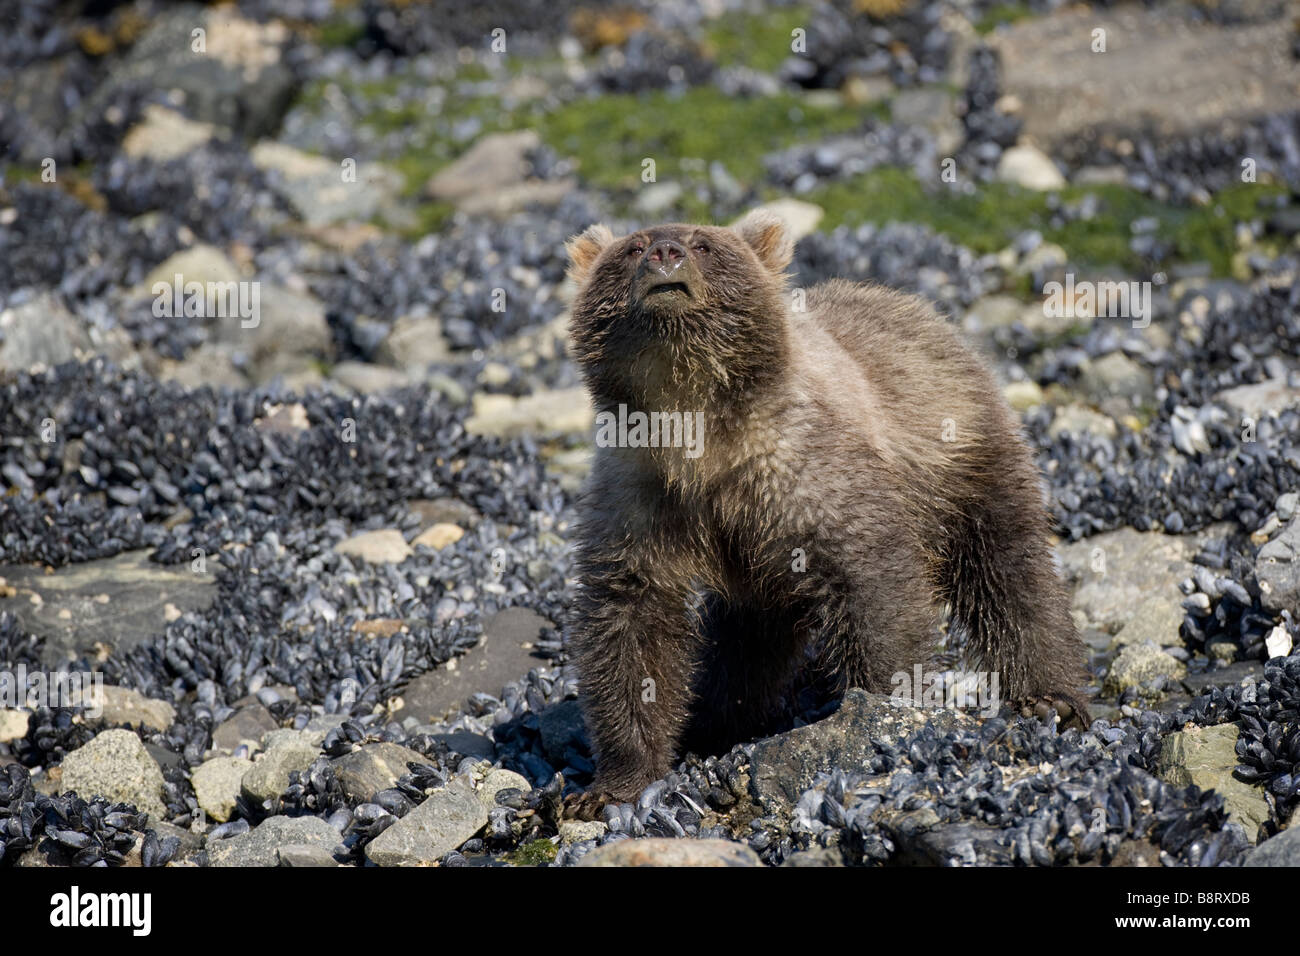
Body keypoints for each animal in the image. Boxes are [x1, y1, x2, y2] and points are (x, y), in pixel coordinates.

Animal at [562, 210, 1091, 817]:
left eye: (705, 243)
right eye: (632, 247)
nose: (666, 254)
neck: (695, 427)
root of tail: (919, 309)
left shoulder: (805, 468)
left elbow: (874, 584)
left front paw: (877, 712)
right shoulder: (640, 497)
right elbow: (630, 626)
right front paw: (608, 787)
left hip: (962, 458)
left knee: (1010, 571)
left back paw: (1050, 696)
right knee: (748, 636)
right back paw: (716, 721)